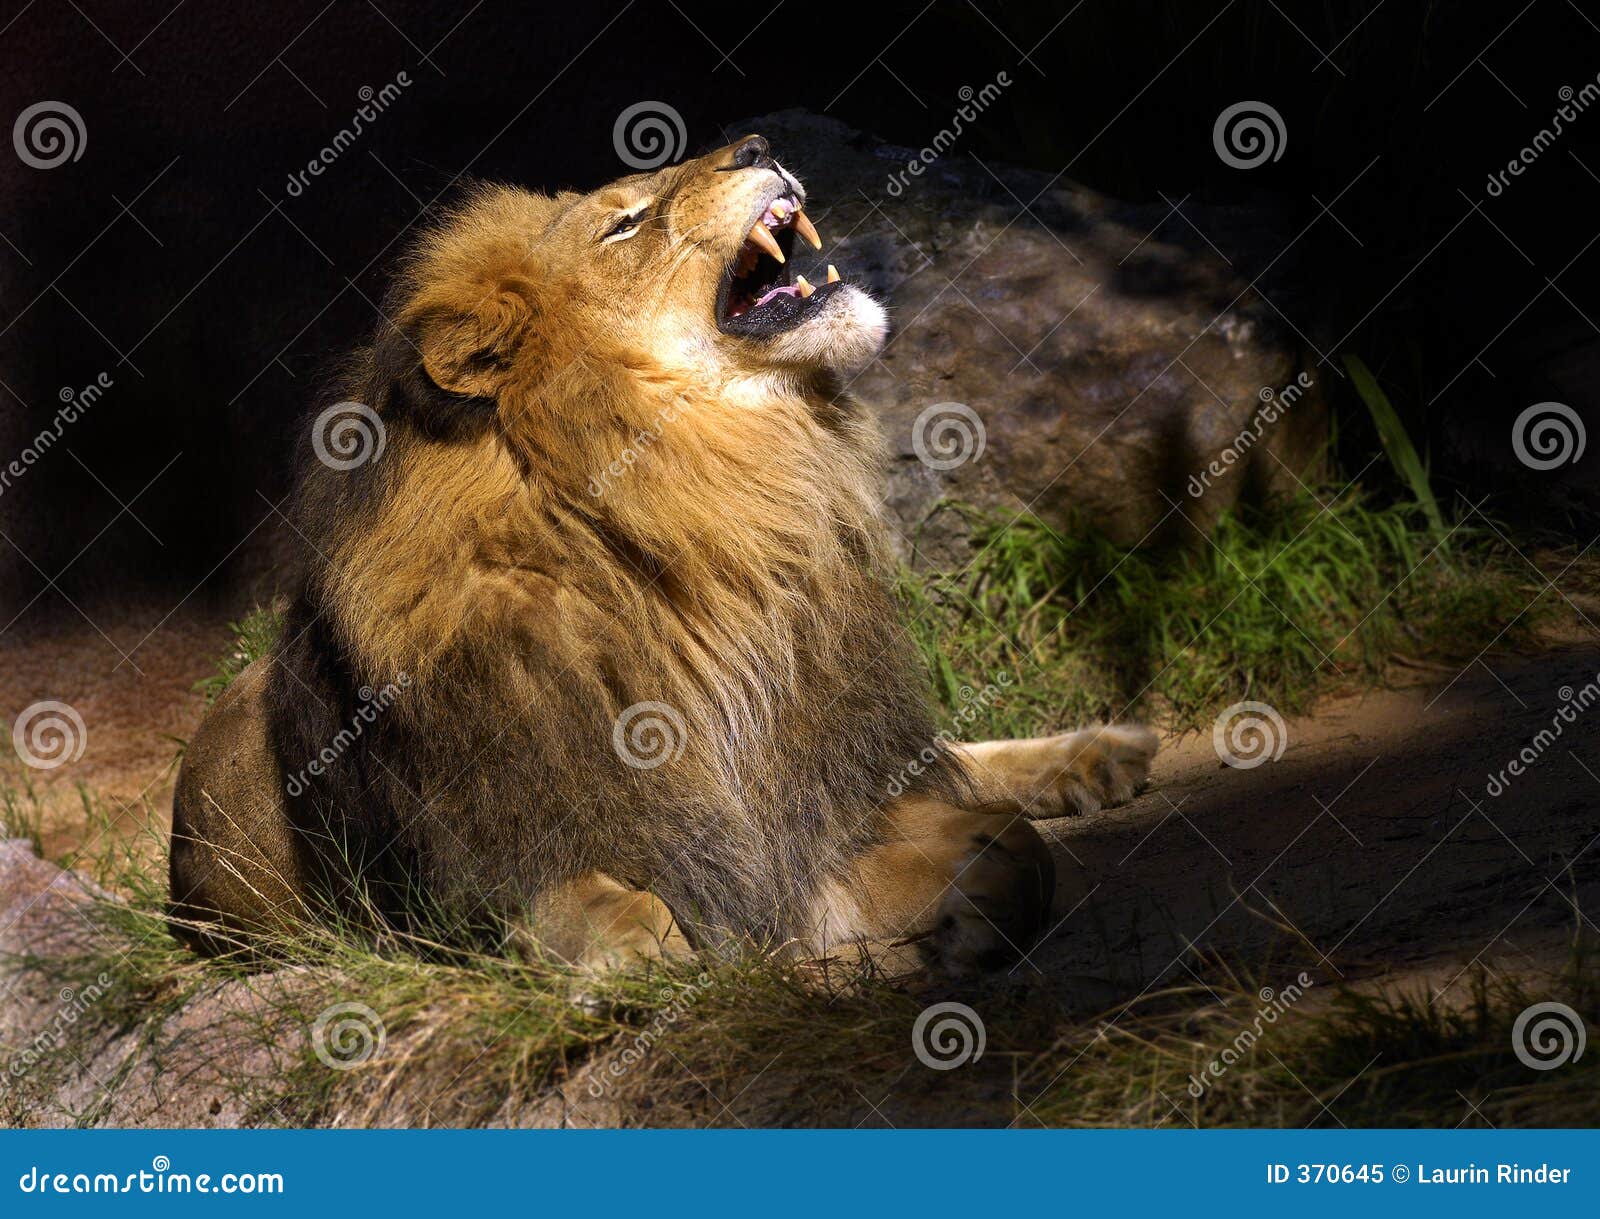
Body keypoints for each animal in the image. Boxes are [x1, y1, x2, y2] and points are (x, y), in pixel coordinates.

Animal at [168, 134, 1157, 976]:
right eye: (625, 222)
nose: (758, 146)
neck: (693, 529)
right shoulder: (455, 886)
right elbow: (567, 897)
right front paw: (631, 945)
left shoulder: (791, 818)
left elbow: (1012, 843)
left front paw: (965, 924)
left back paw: (1100, 752)